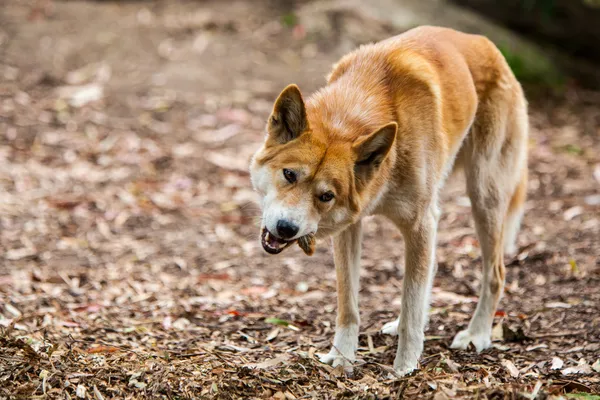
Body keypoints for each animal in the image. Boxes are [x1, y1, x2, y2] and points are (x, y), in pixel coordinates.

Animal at [251, 25, 528, 376]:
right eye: (289, 174)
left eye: (326, 196)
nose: (286, 228)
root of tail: (482, 41)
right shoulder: (350, 229)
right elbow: (349, 304)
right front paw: (343, 357)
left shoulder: (421, 224)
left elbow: (411, 303)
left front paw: (405, 366)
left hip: (483, 198)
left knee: (495, 275)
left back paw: (477, 334)